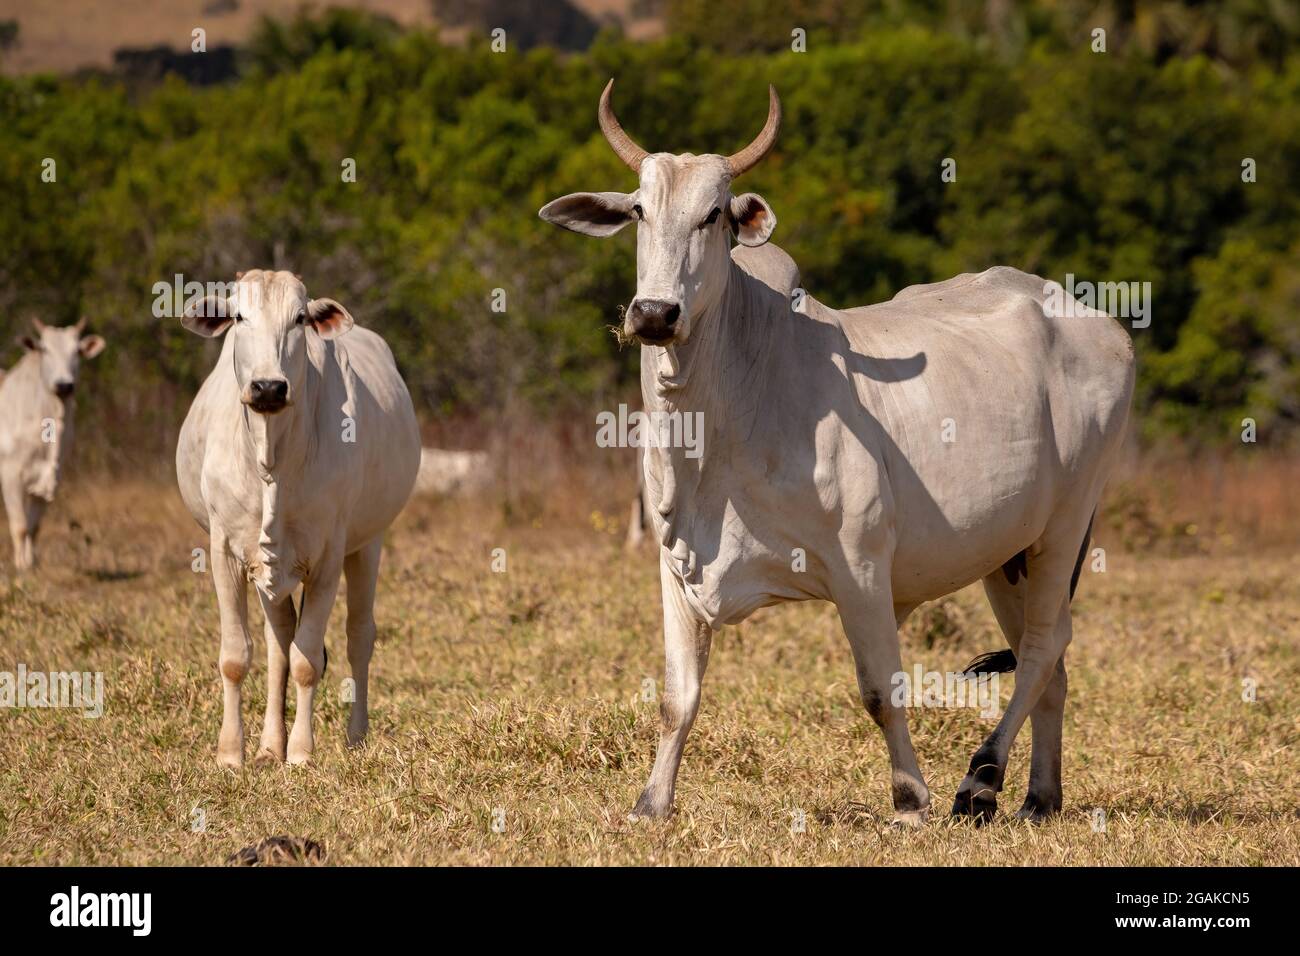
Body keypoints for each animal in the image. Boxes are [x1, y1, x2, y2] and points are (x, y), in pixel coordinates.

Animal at [0, 318, 106, 571]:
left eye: (77, 351)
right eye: (45, 349)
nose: (64, 385)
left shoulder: (51, 480)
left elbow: (33, 527)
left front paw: (32, 564)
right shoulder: (10, 476)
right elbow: (20, 526)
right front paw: (20, 566)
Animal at [176, 271, 420, 767]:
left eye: (300, 319)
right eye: (238, 316)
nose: (269, 387)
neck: (272, 457)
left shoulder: (327, 558)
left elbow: (308, 660)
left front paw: (303, 753)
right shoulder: (225, 552)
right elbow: (238, 655)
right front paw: (232, 753)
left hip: (368, 545)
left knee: (358, 637)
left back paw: (355, 736)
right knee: (278, 643)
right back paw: (271, 743)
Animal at [539, 81, 1134, 826]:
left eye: (713, 215)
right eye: (641, 211)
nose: (654, 314)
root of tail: (1102, 324)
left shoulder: (862, 567)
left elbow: (881, 691)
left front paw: (909, 800)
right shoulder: (676, 570)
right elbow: (678, 699)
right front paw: (652, 803)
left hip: (1066, 525)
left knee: (1040, 649)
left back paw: (981, 780)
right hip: (1009, 551)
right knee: (1050, 662)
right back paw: (1039, 796)